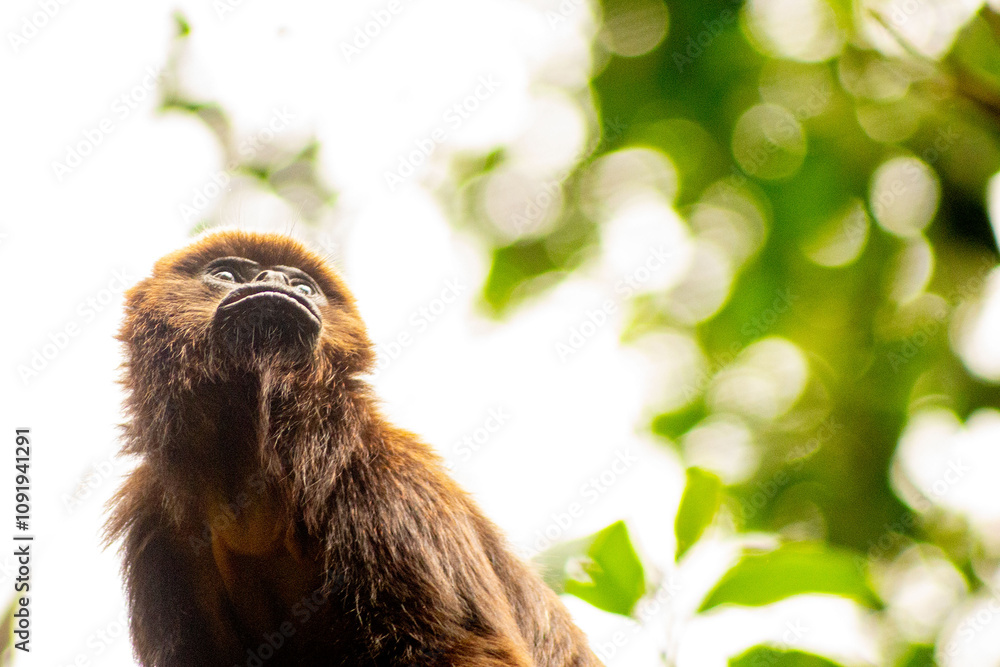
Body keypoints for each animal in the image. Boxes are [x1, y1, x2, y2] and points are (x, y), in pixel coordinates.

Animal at [105, 230, 603, 667]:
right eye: (226, 274)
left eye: (303, 286)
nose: (275, 279)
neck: (253, 482)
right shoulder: (156, 525)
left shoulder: (392, 486)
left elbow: (467, 646)